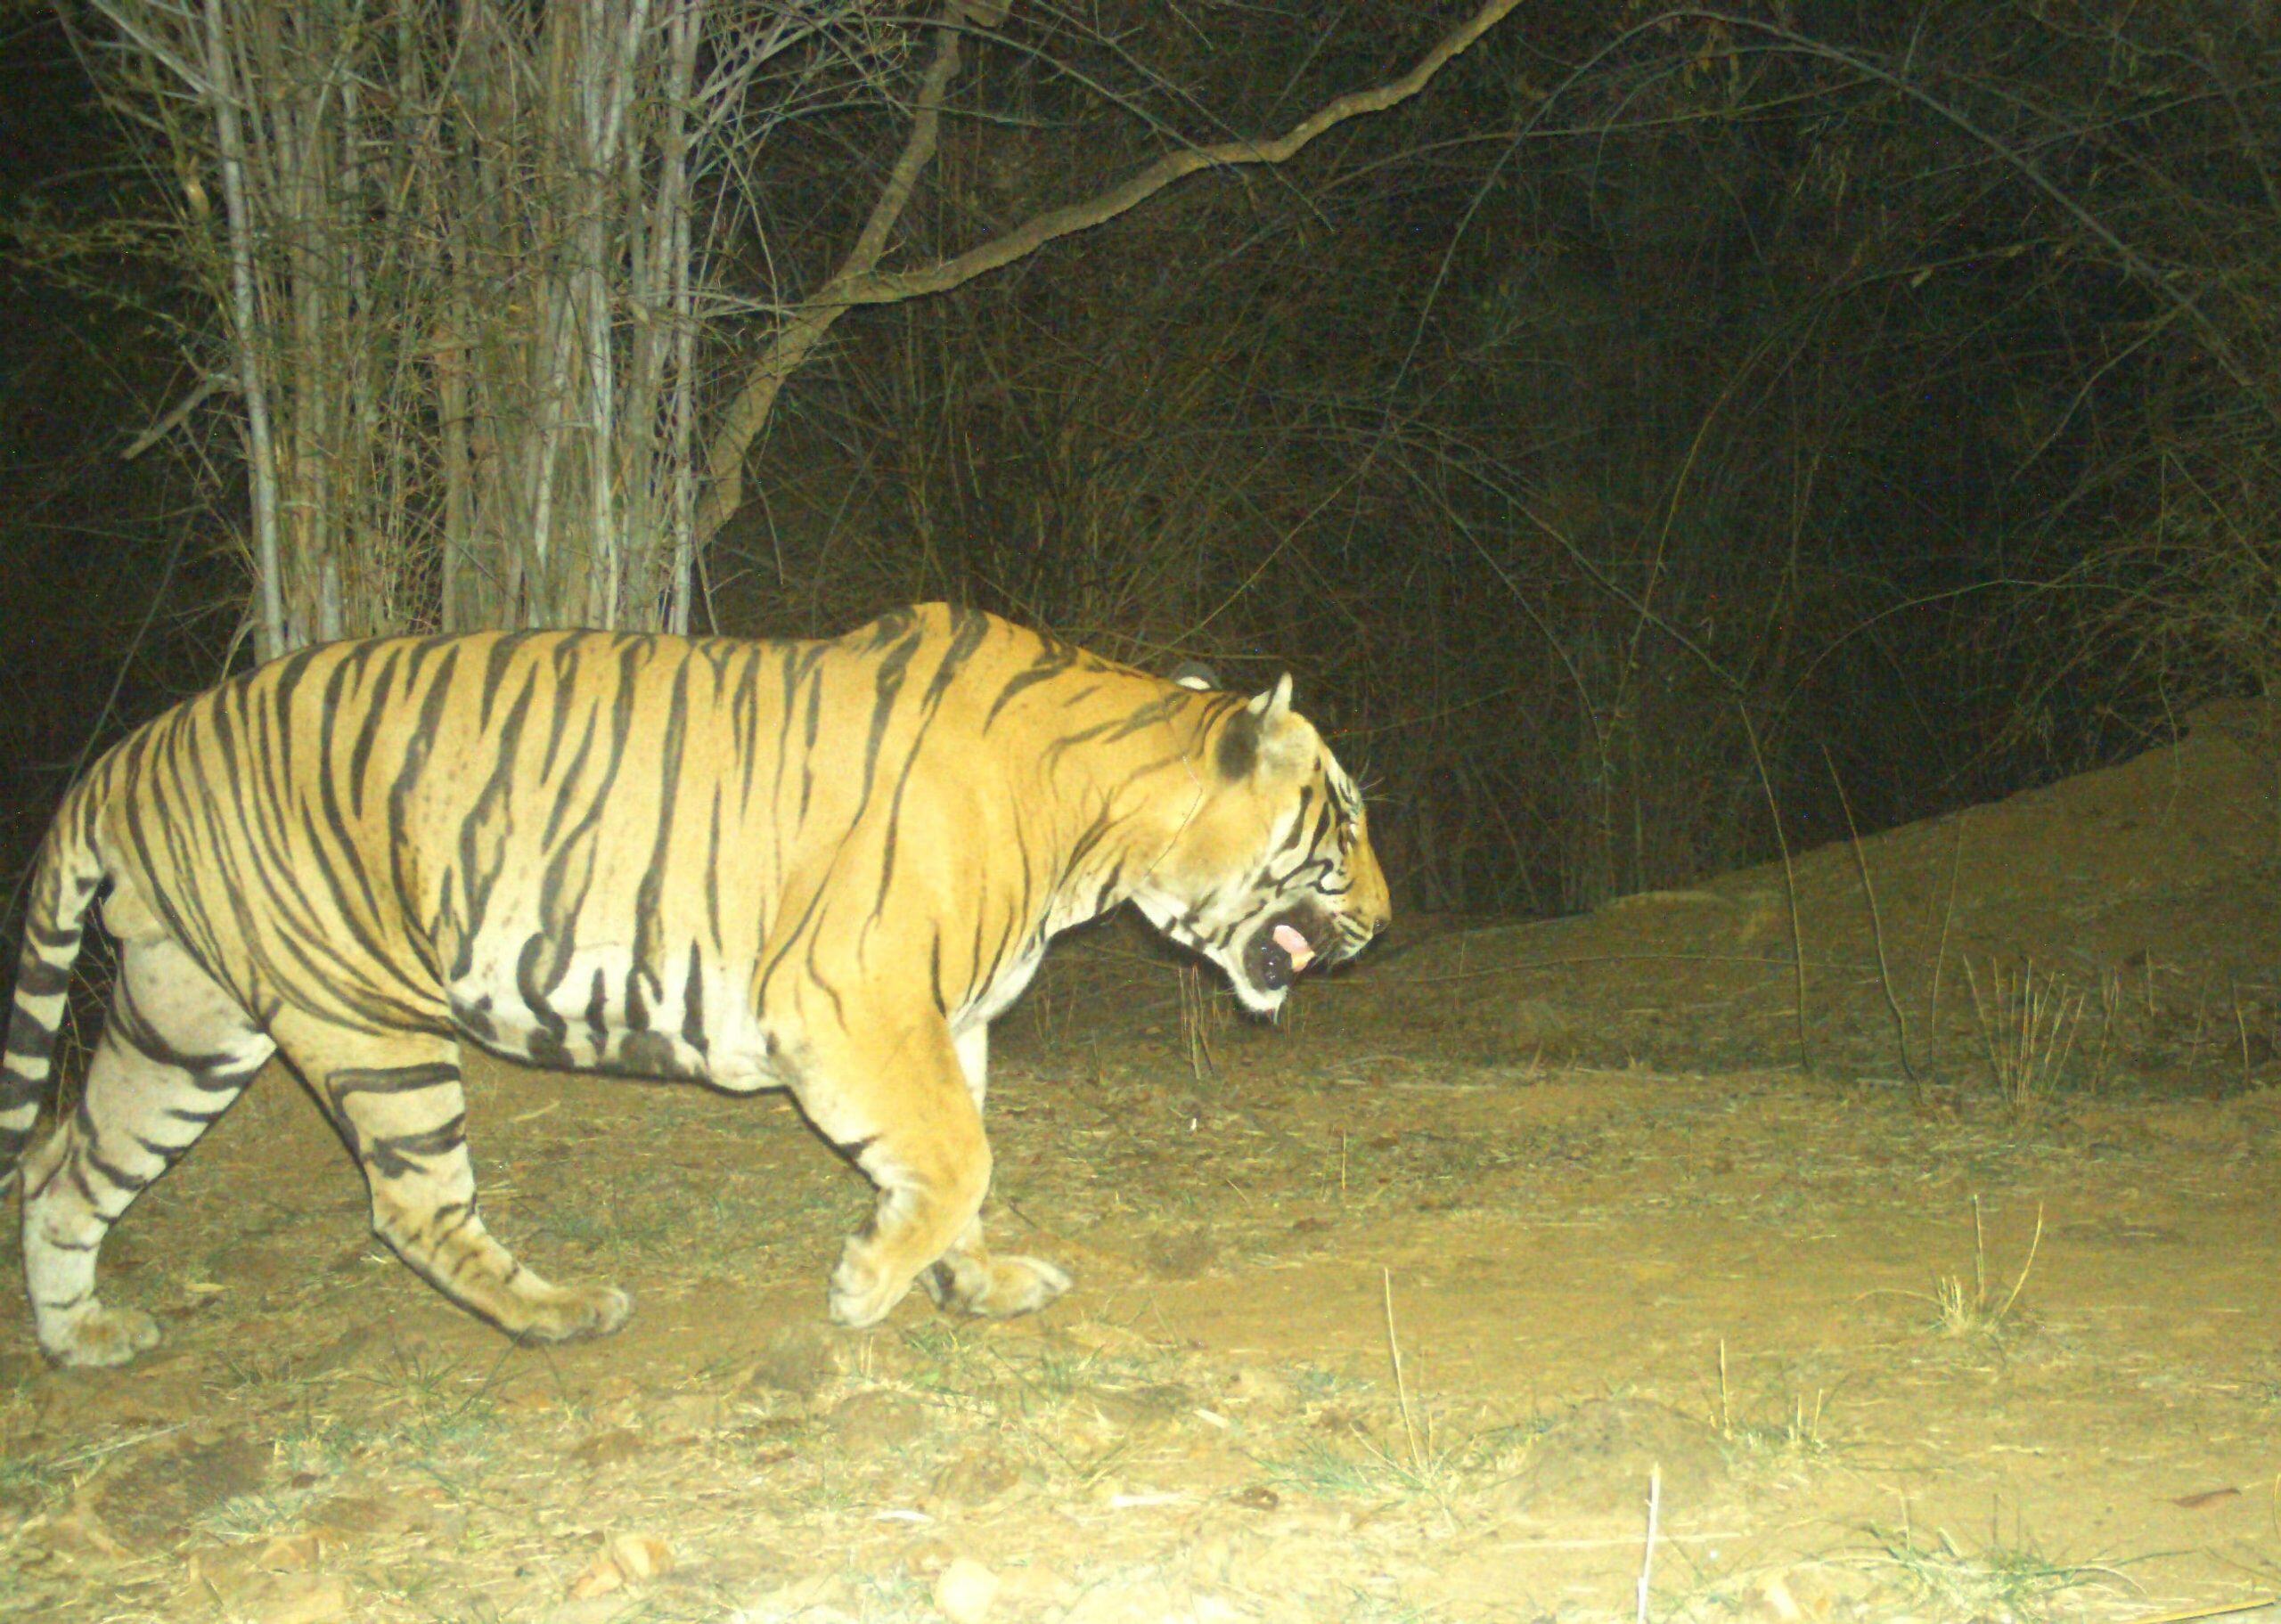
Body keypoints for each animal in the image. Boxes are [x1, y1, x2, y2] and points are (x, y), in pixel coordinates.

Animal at [1, 604, 1389, 1367]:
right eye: (1346, 821)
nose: (1383, 921)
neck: (1100, 829)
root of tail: (128, 749)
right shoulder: (850, 995)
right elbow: (957, 1154)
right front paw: (867, 1285)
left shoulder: (950, 1017)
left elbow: (963, 1161)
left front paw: (974, 1283)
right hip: (364, 1011)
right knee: (412, 1205)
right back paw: (563, 1313)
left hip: (187, 1020)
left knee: (63, 1166)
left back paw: (79, 1339)